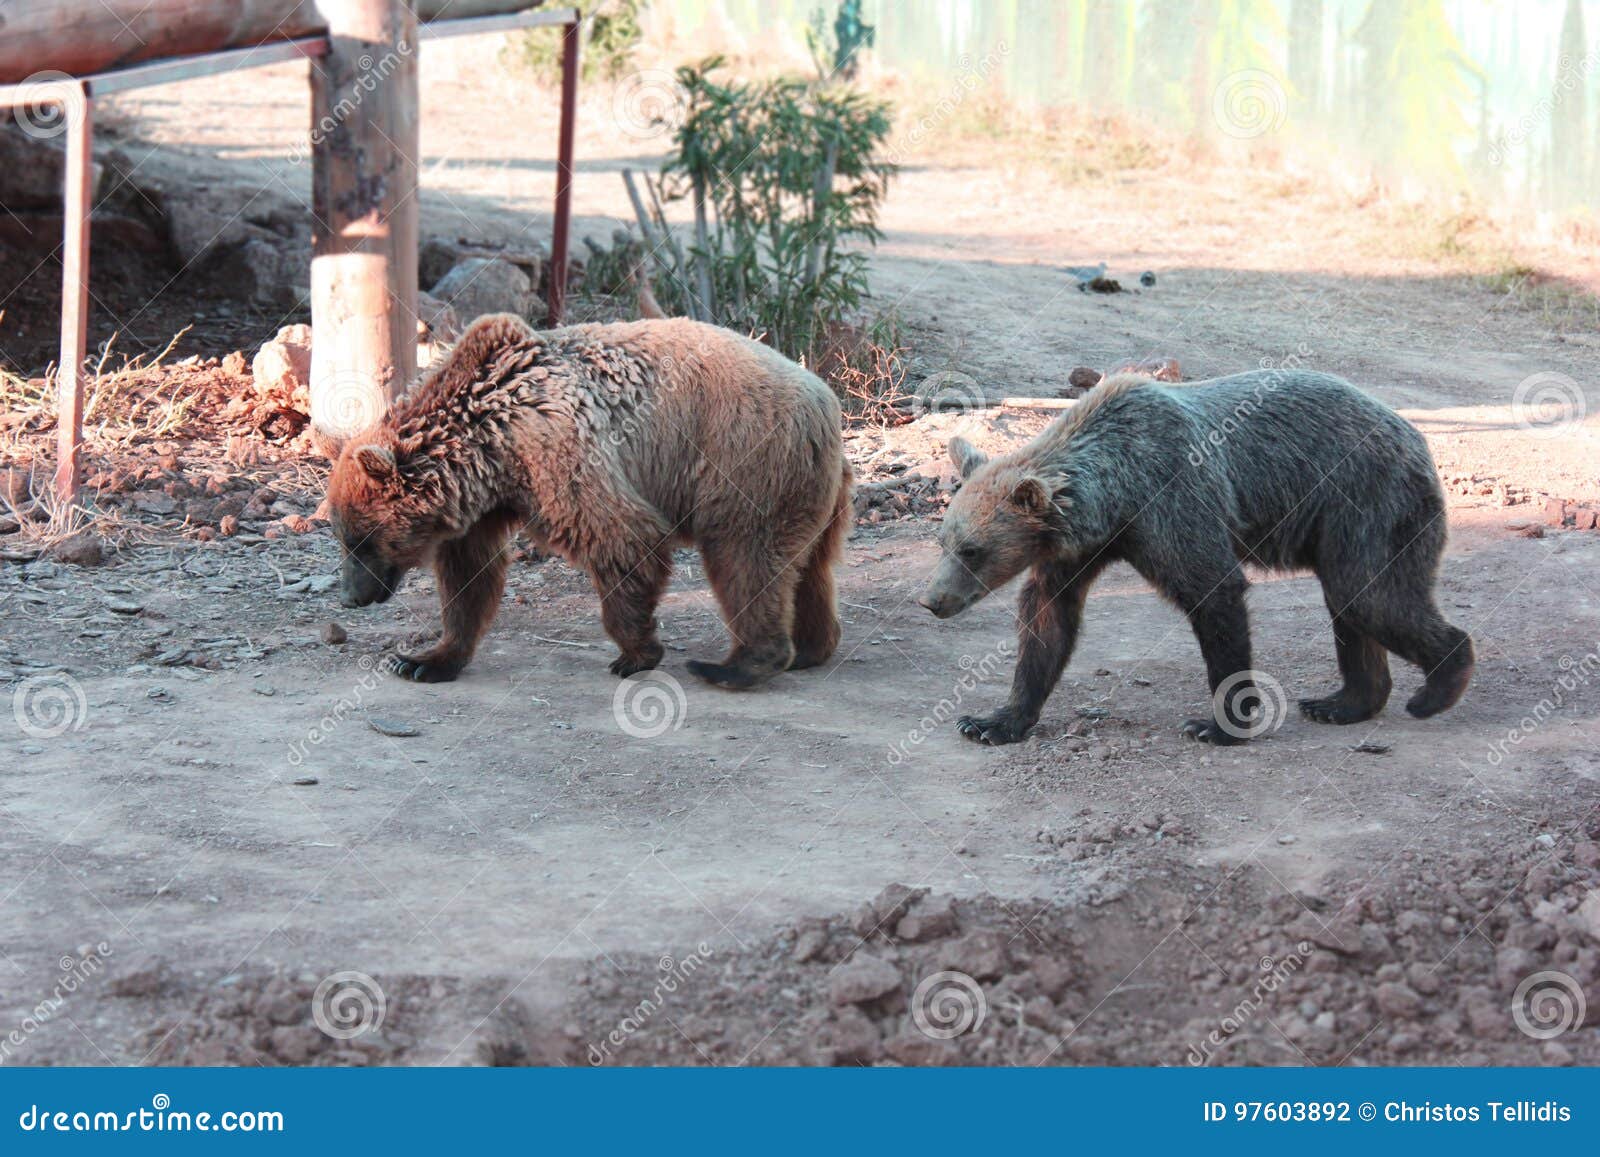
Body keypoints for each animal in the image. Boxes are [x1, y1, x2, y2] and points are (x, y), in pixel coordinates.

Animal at [325, 313, 852, 688]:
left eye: (360, 538)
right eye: (345, 537)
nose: (351, 596)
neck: (486, 446)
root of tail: (827, 403)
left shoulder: (553, 445)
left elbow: (624, 535)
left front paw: (635, 653)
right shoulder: (485, 503)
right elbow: (468, 576)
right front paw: (422, 660)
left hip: (747, 462)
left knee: (745, 558)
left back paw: (737, 664)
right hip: (811, 491)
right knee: (808, 567)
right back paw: (811, 648)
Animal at [917, 368, 1474, 745]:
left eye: (972, 550)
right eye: (944, 542)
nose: (933, 601)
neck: (1115, 496)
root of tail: (1416, 436)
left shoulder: (1172, 500)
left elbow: (1214, 591)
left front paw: (1217, 724)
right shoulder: (1081, 548)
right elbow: (1047, 619)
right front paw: (991, 720)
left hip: (1367, 501)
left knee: (1373, 596)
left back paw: (1435, 688)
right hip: (1340, 525)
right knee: (1350, 603)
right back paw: (1341, 702)